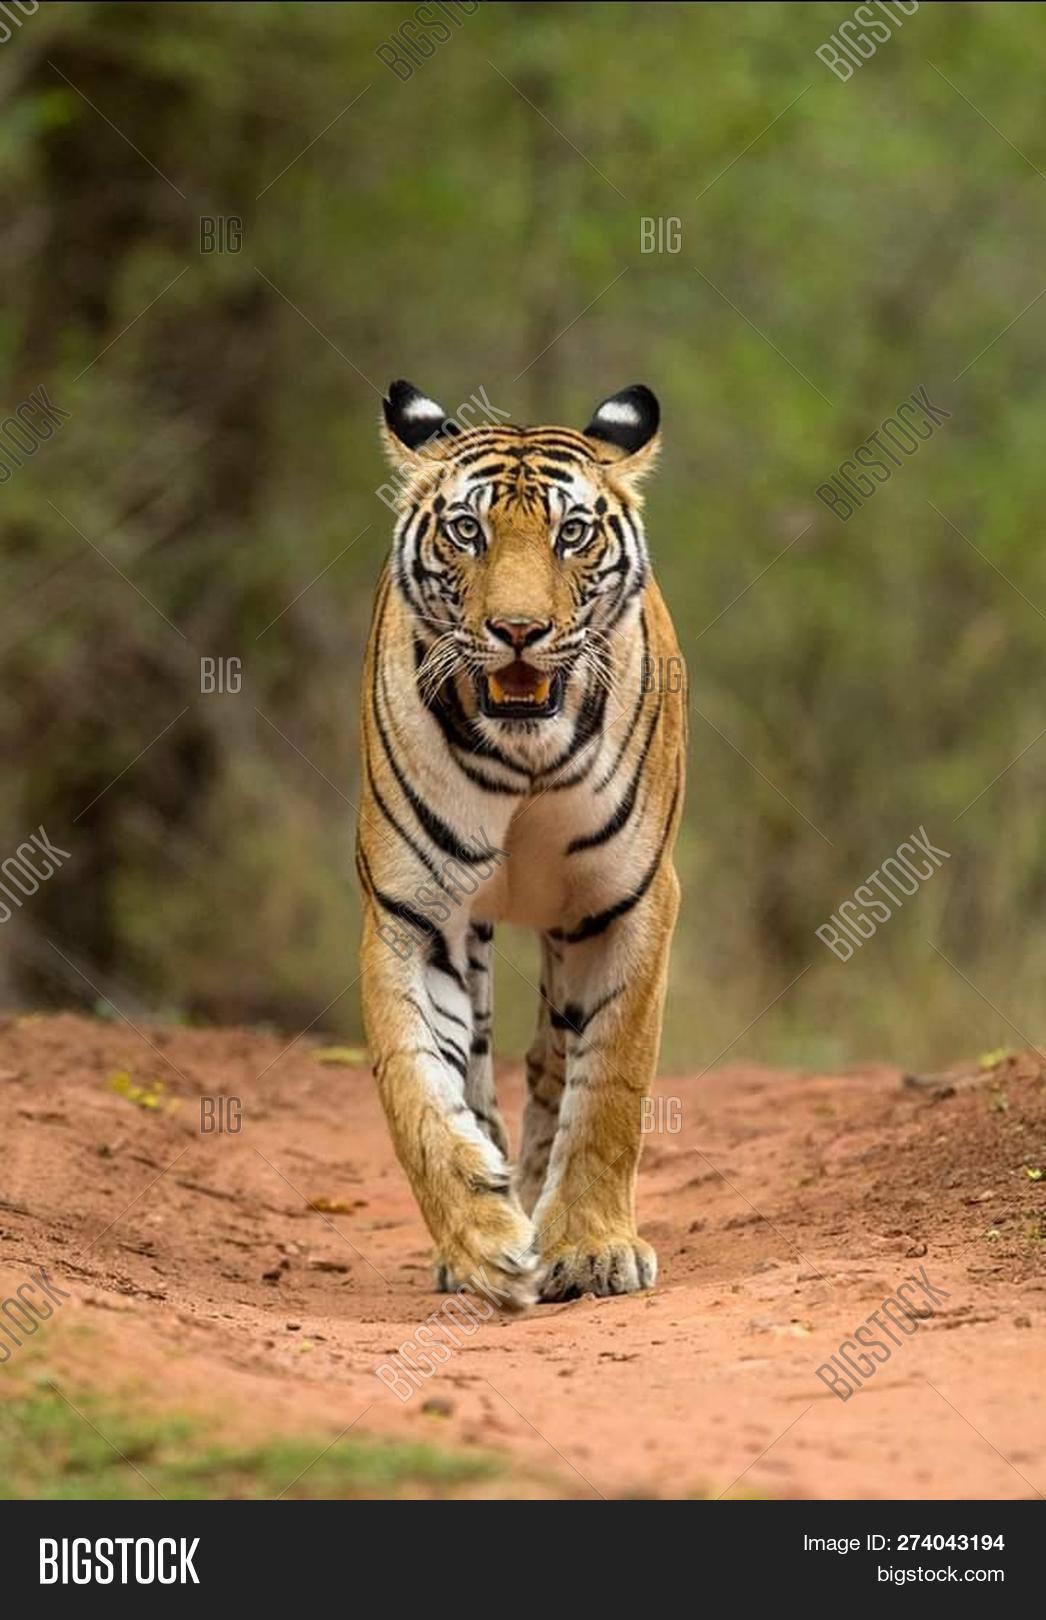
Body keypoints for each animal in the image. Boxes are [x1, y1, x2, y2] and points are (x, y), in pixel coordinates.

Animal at [356, 379, 686, 1308]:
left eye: (571, 534)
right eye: (468, 531)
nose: (517, 630)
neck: (524, 754)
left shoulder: (628, 904)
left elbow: (609, 1088)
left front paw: (592, 1248)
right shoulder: (411, 915)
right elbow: (418, 1090)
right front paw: (483, 1243)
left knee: (550, 1062)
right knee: (475, 1069)